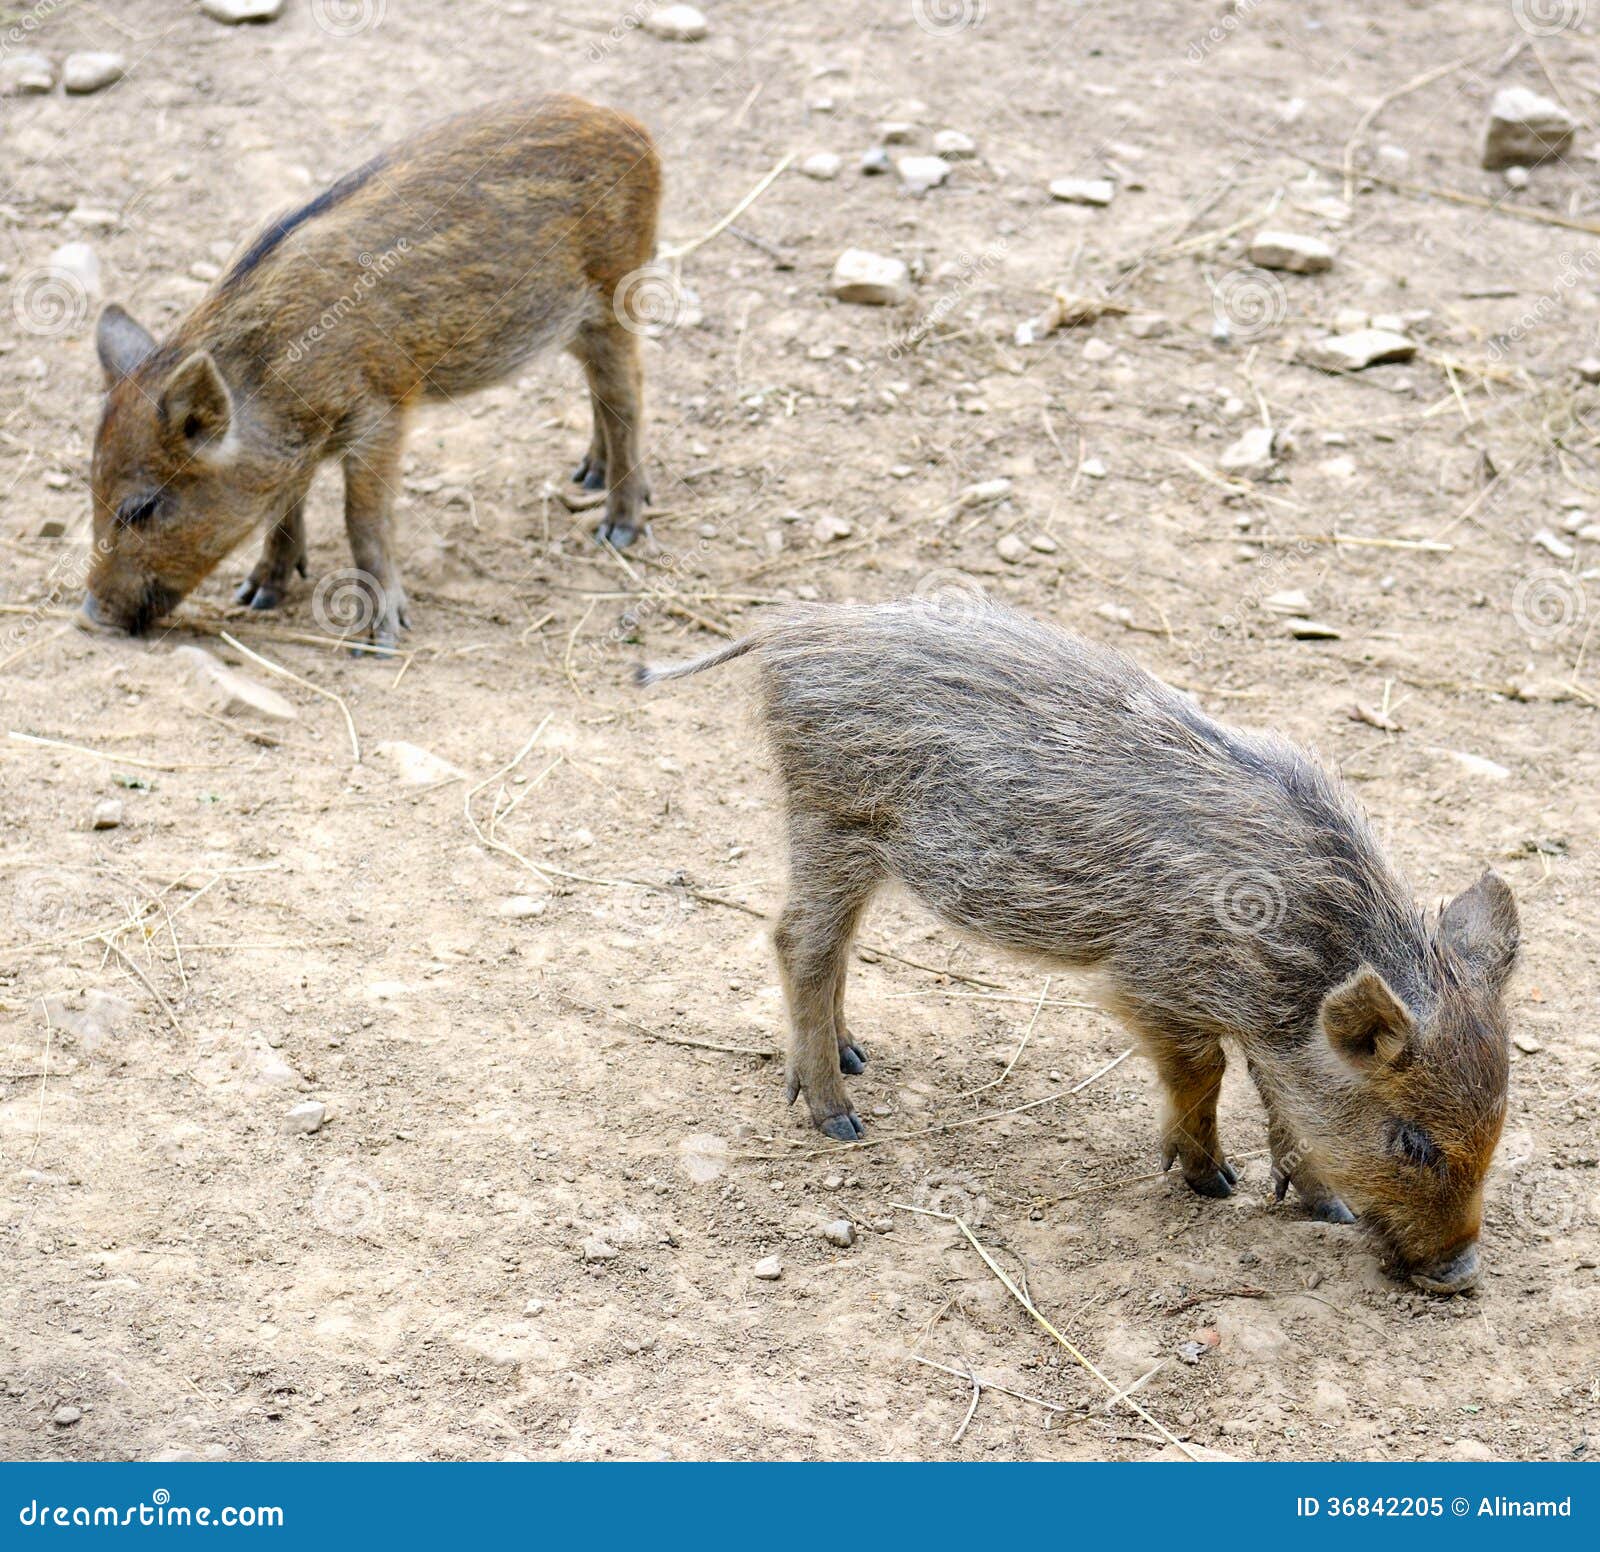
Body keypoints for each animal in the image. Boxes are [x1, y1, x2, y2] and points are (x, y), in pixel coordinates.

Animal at [85, 94, 660, 650]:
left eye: (143, 507)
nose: (93, 615)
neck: (274, 368)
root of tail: (634, 127)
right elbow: (285, 505)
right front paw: (256, 595)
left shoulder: (382, 411)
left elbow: (360, 519)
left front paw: (382, 636)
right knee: (597, 390)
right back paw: (588, 475)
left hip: (614, 298)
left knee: (627, 394)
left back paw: (618, 528)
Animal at [638, 597, 1521, 1293]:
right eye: (1412, 1140)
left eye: (1500, 1125)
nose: (1461, 1276)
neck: (1306, 948)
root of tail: (793, 629)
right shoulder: (1150, 983)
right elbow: (1206, 1074)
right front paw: (1211, 1182)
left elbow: (1280, 1098)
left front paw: (1322, 1207)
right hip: (831, 818)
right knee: (799, 942)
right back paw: (838, 1119)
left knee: (834, 948)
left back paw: (855, 1060)